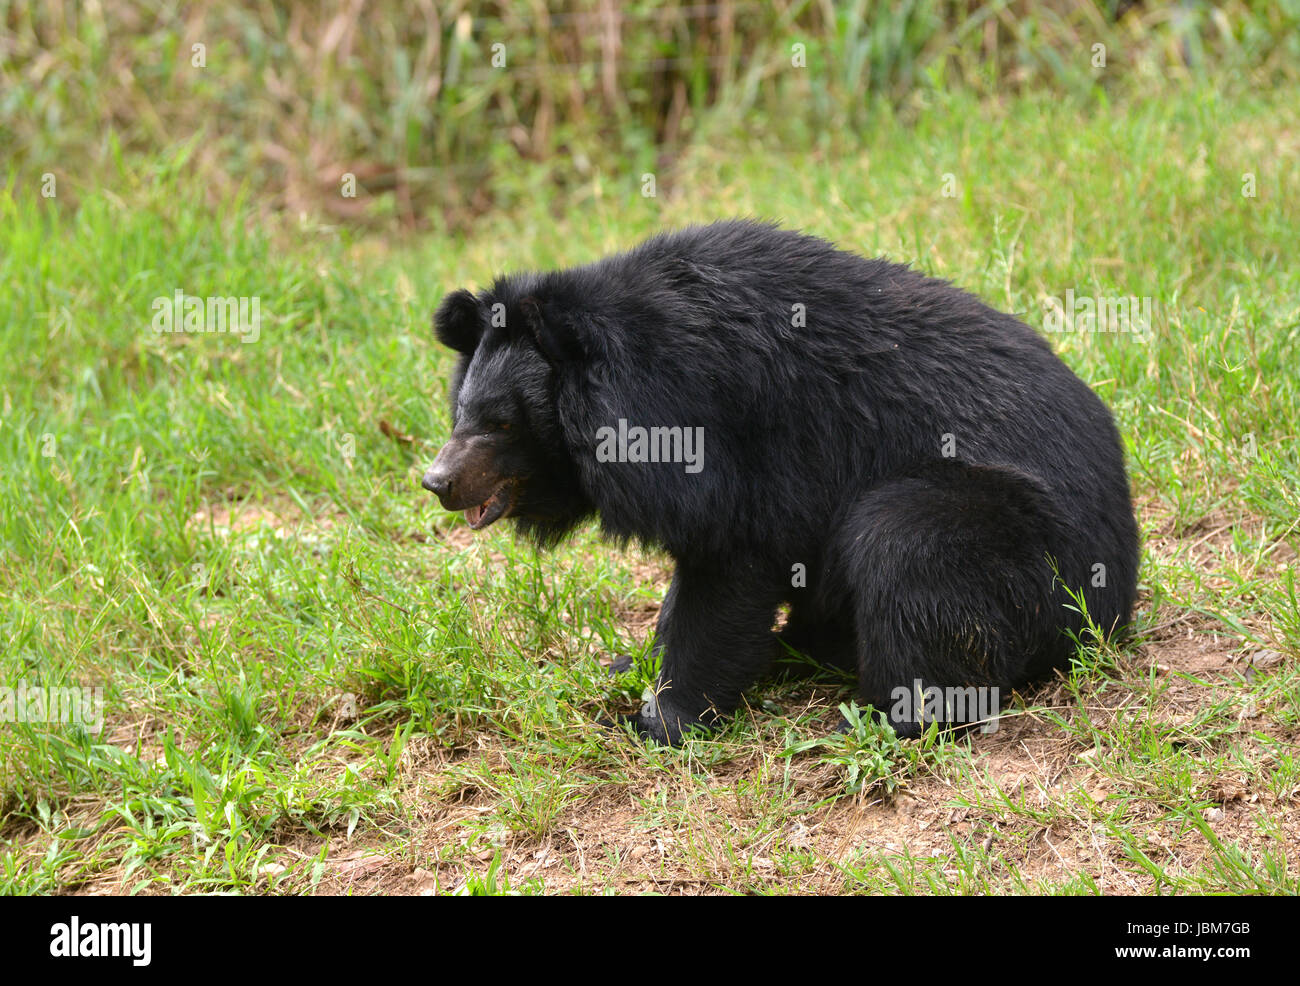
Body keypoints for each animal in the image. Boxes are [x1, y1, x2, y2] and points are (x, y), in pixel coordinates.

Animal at [422, 220, 1139, 744]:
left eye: (503, 423)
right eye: (461, 412)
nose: (437, 482)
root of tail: (1117, 599)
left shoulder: (730, 446)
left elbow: (727, 562)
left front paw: (660, 718)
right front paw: (631, 666)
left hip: (1019, 541)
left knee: (903, 544)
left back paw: (884, 717)